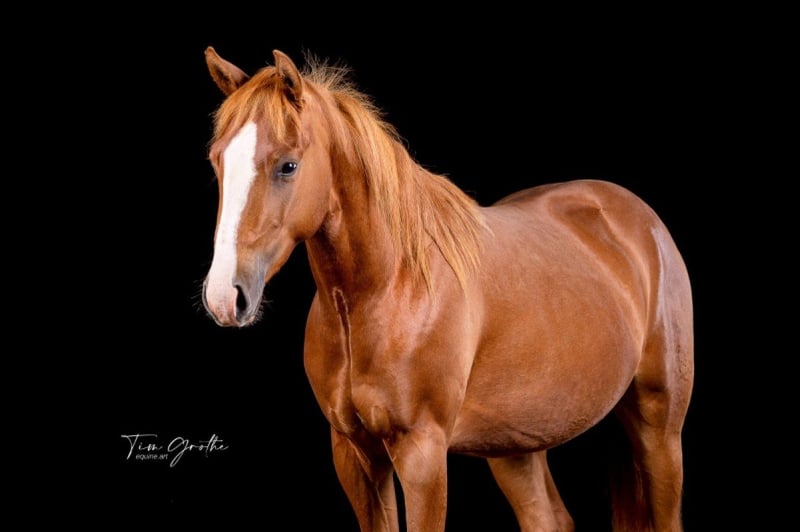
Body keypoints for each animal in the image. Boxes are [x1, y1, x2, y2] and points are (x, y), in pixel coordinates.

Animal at [200, 47, 694, 531]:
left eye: (287, 165)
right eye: (217, 161)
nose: (225, 296)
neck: (388, 290)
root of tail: (639, 220)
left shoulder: (422, 454)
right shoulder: (355, 455)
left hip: (660, 427)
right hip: (517, 444)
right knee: (548, 517)